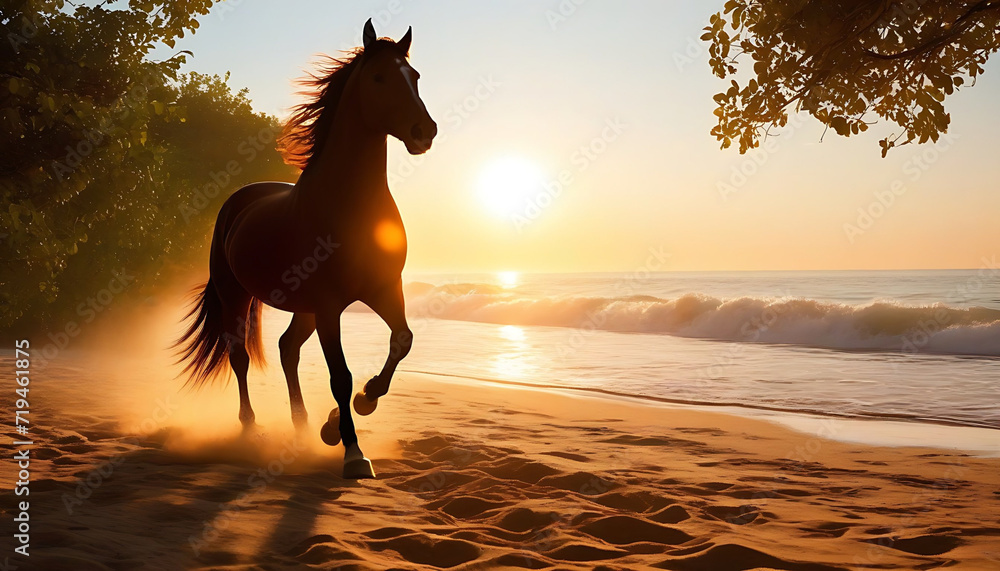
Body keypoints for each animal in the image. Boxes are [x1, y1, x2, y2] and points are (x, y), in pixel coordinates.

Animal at [174, 19, 437, 479]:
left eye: (416, 76)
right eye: (378, 77)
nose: (425, 132)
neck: (349, 205)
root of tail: (238, 200)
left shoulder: (384, 289)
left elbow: (402, 340)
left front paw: (358, 406)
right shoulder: (331, 305)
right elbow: (340, 376)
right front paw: (354, 453)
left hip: (303, 308)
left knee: (287, 349)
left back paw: (303, 427)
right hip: (236, 294)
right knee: (240, 356)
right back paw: (250, 430)